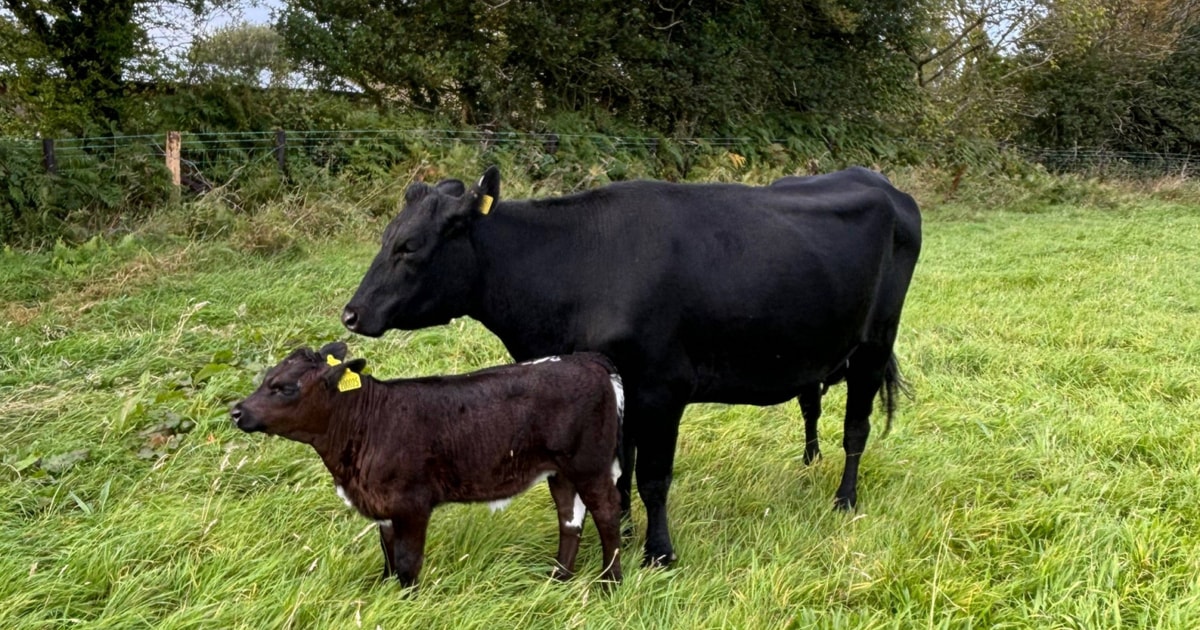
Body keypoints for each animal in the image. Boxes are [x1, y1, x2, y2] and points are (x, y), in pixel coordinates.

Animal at [340, 165, 922, 566]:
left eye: (410, 246)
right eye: (386, 238)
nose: (351, 312)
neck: (578, 265)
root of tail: (878, 180)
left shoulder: (661, 389)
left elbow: (654, 477)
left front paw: (659, 553)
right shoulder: (612, 388)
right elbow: (617, 471)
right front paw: (618, 527)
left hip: (874, 343)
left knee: (856, 428)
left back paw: (845, 499)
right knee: (813, 405)